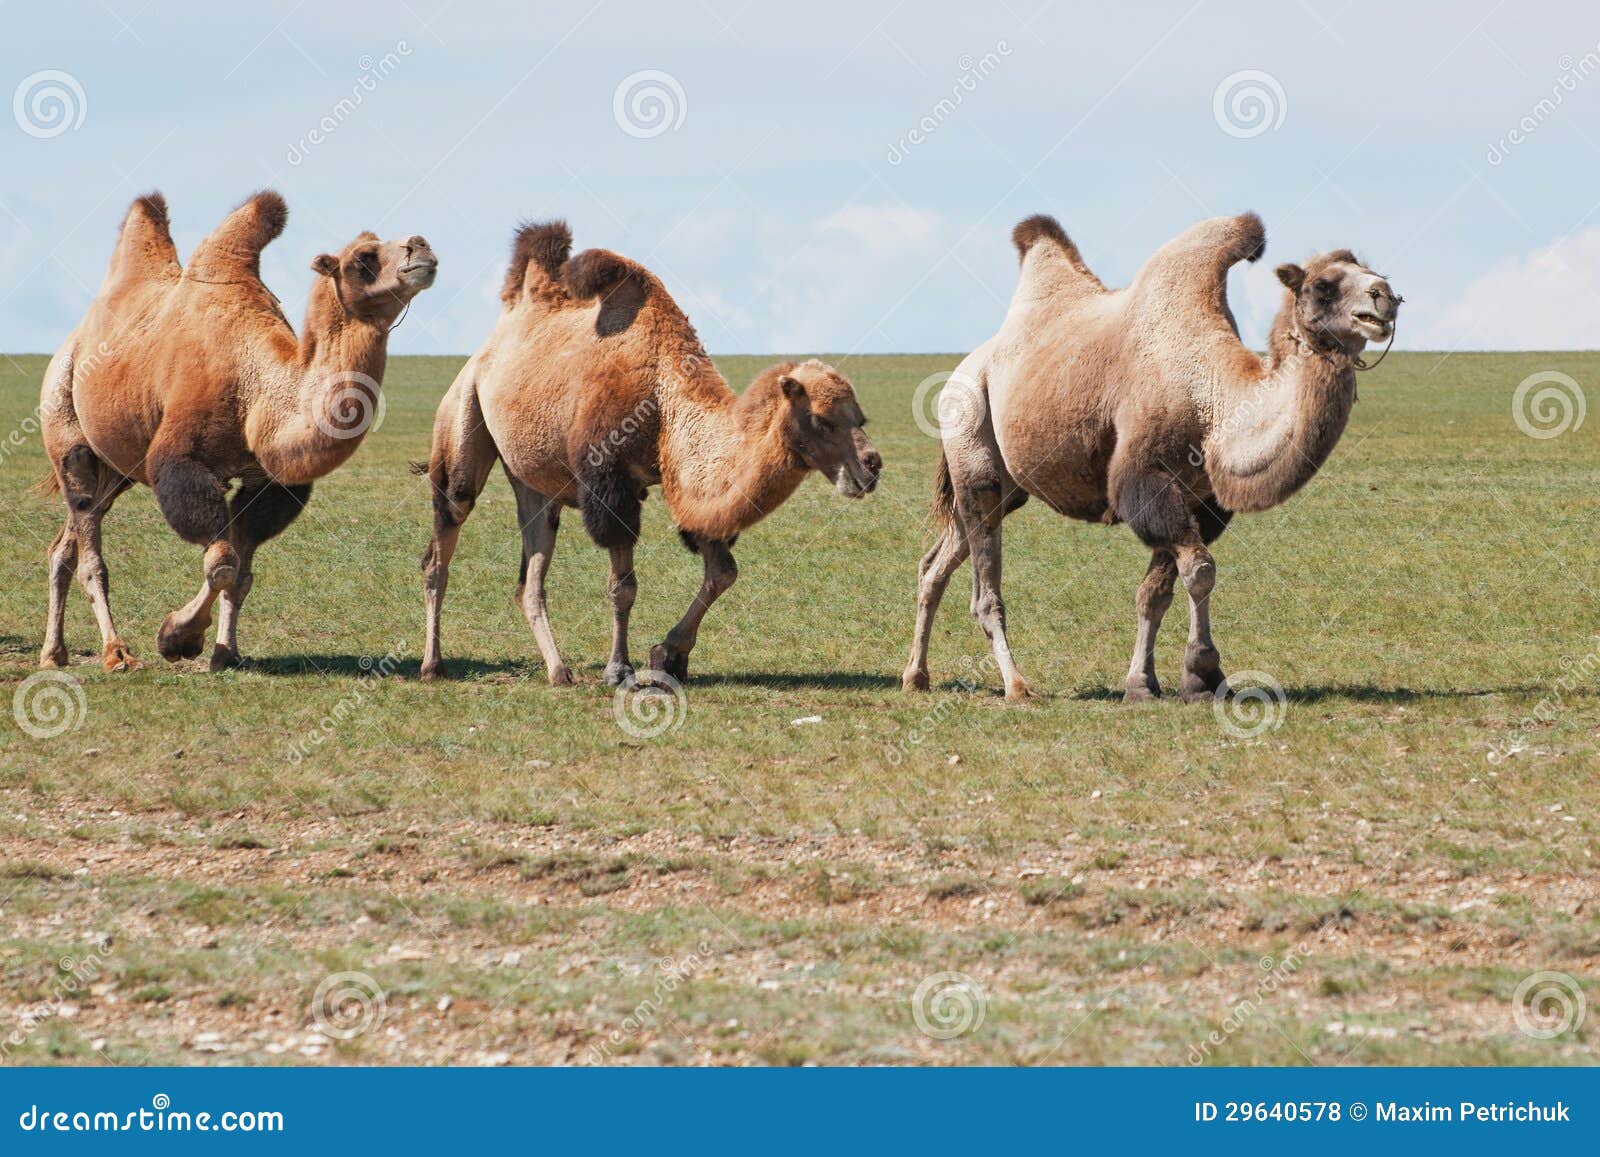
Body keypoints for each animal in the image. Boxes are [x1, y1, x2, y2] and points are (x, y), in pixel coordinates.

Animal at [37, 190, 436, 672]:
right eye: (364, 258)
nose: (421, 246)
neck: (255, 388)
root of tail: (71, 343)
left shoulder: (266, 481)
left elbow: (241, 572)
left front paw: (224, 650)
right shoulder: (180, 460)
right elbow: (223, 563)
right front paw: (177, 638)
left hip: (117, 469)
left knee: (66, 544)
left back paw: (53, 652)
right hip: (67, 428)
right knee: (88, 544)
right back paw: (115, 652)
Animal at [418, 221, 882, 686]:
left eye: (860, 417)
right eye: (822, 420)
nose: (871, 467)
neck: (663, 396)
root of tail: (493, 340)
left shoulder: (688, 485)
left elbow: (722, 571)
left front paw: (669, 654)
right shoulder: (611, 483)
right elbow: (623, 587)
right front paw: (619, 668)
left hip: (536, 481)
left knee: (530, 576)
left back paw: (558, 670)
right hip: (463, 409)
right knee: (443, 539)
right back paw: (433, 664)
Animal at [903, 212, 1401, 702]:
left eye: (1373, 273)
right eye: (1324, 286)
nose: (1384, 296)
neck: (1212, 400)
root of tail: (967, 366)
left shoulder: (1201, 500)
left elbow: (1155, 593)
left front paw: (1144, 683)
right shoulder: (1145, 478)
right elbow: (1199, 569)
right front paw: (1203, 674)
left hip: (1008, 488)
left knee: (935, 563)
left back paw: (916, 675)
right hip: (973, 444)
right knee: (985, 591)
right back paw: (1017, 685)